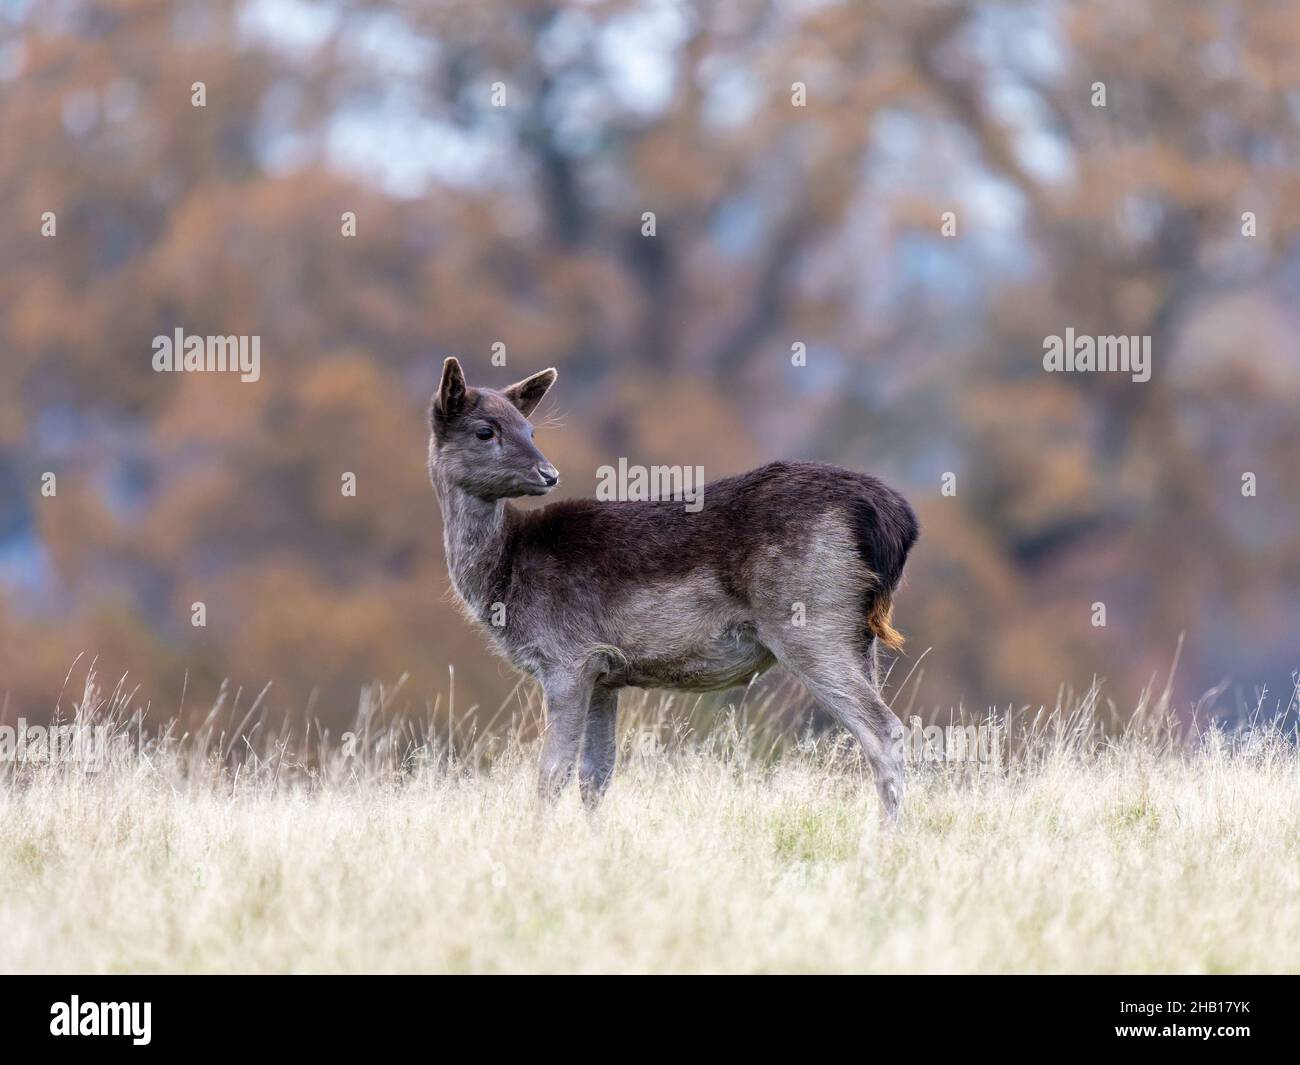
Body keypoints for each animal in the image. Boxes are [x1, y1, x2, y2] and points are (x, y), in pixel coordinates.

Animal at [427, 358, 920, 818]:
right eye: (486, 430)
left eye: (529, 429)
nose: (548, 473)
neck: (505, 576)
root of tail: (893, 518)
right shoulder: (604, 672)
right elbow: (596, 775)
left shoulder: (567, 657)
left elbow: (553, 772)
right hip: (860, 634)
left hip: (811, 621)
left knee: (884, 729)